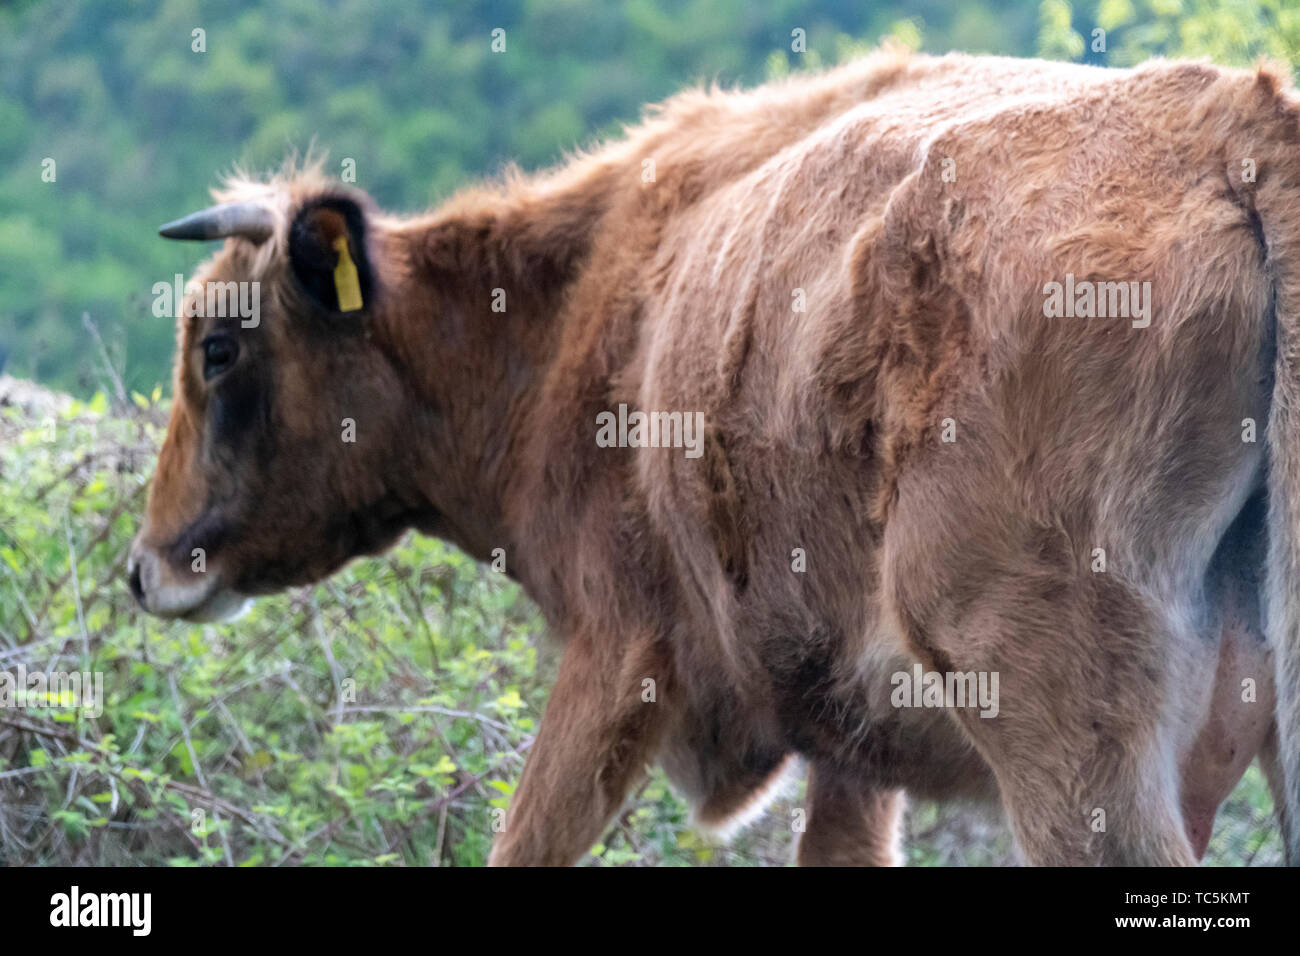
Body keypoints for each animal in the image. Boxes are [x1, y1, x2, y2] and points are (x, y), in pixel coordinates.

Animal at [130, 48, 1300, 865]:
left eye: (218, 345)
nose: (145, 568)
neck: (580, 304)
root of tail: (1227, 119)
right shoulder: (847, 751)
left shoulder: (614, 654)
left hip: (1058, 719)